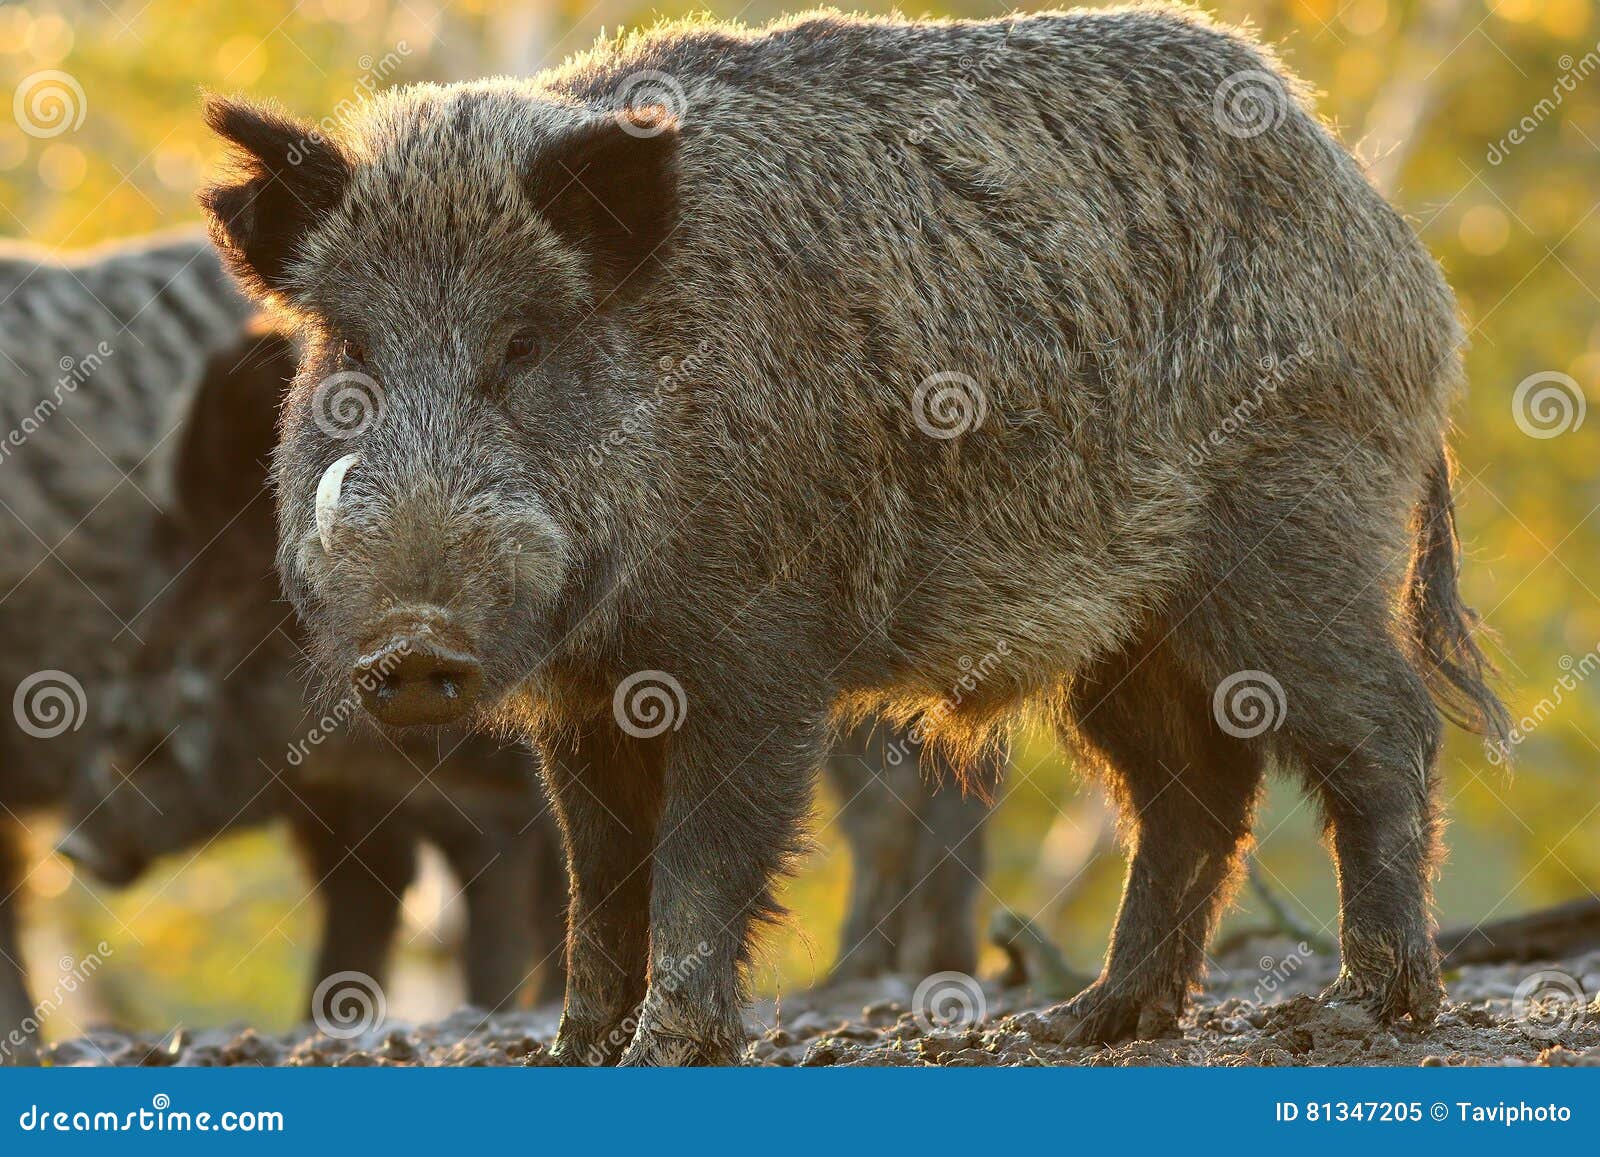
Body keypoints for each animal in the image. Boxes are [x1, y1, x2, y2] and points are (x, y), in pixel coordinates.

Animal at [201, 8, 1509, 1063]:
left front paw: (665, 1049)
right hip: (1124, 631)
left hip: (1292, 536)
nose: (412, 646)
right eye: (350, 351)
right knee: (1192, 785)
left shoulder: (759, 650)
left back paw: (1360, 1010)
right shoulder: (586, 698)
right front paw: (572, 1052)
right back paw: (1079, 1022)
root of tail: (1401, 257)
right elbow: (600, 872)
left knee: (1383, 729)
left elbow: (705, 857)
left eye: (525, 344)